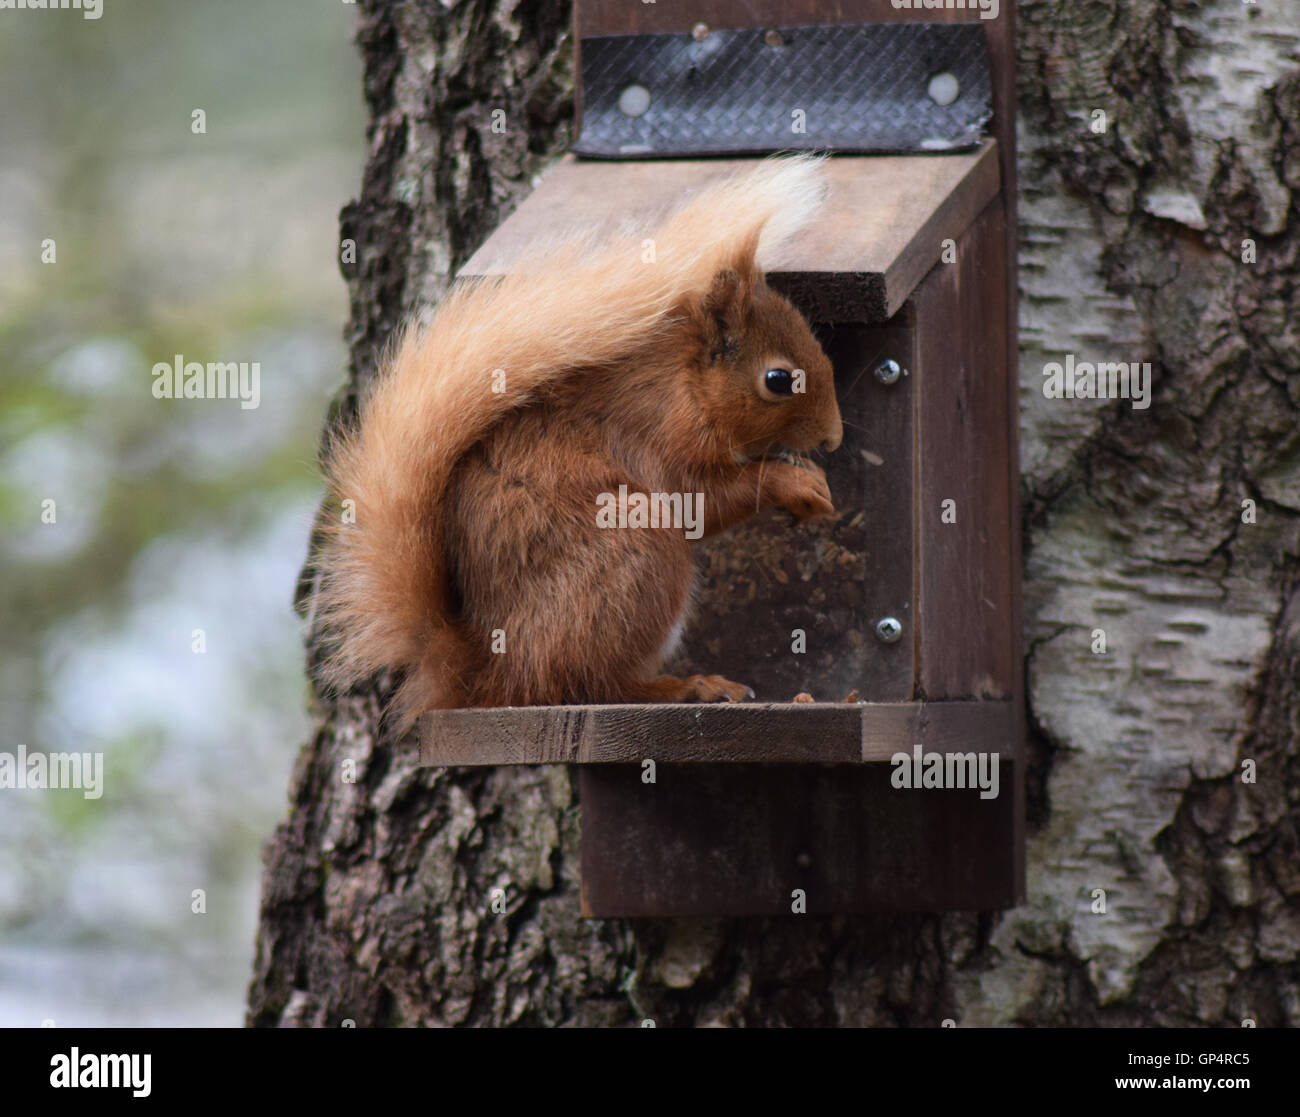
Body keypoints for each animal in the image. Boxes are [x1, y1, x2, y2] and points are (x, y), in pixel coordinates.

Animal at [316, 156, 843, 728]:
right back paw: (688, 687)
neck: (682, 382)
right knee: (590, 684)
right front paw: (793, 483)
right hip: (634, 556)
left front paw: (812, 480)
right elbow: (707, 500)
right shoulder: (657, 439)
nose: (834, 436)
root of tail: (486, 675)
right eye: (778, 380)